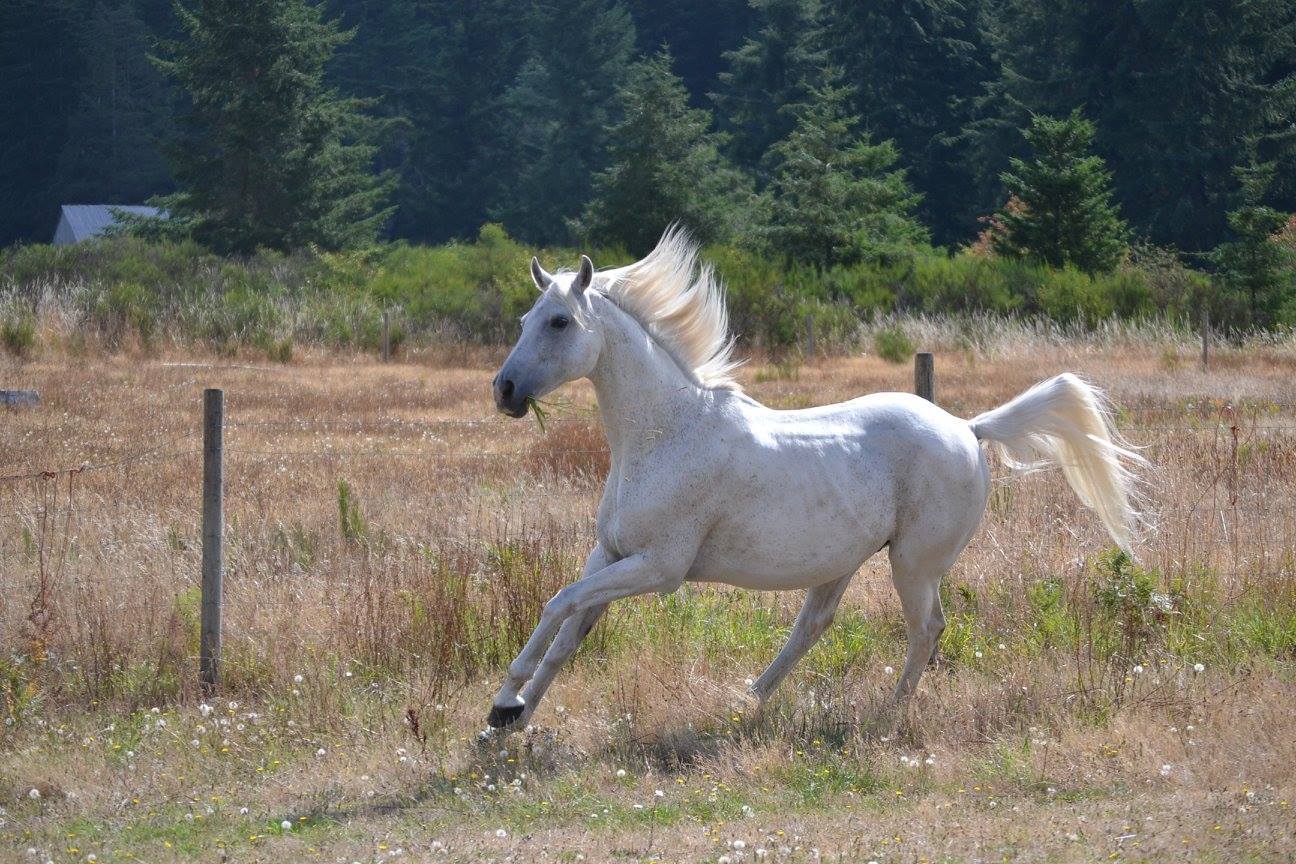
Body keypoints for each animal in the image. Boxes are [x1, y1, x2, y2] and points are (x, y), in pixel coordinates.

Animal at [485, 229, 1144, 730]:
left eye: (560, 322)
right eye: (524, 318)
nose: (506, 391)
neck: (667, 434)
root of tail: (967, 427)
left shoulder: (659, 567)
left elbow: (558, 603)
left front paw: (508, 697)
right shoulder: (612, 553)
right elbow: (569, 630)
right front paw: (508, 718)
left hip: (913, 563)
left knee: (925, 629)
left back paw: (888, 715)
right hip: (842, 561)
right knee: (813, 626)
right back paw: (747, 701)